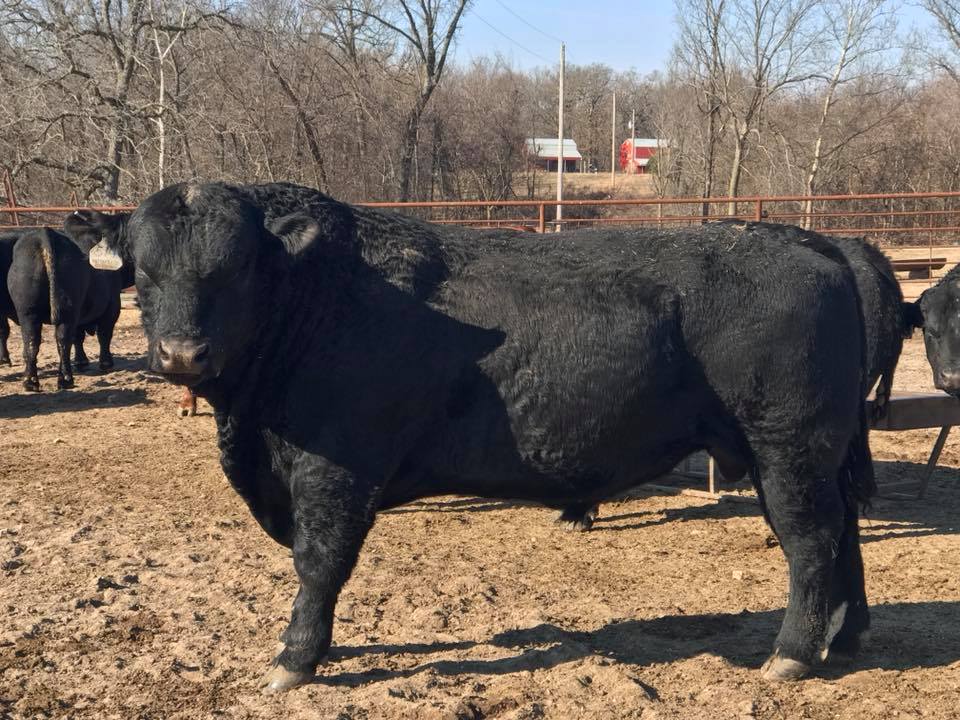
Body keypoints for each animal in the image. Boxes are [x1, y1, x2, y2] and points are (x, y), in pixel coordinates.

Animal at [82, 181, 874, 692]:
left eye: (238, 268)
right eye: (143, 271)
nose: (182, 354)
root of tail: (813, 242)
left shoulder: (334, 471)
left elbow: (319, 564)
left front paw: (295, 659)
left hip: (787, 447)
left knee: (810, 539)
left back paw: (792, 654)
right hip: (814, 454)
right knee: (843, 535)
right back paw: (845, 636)